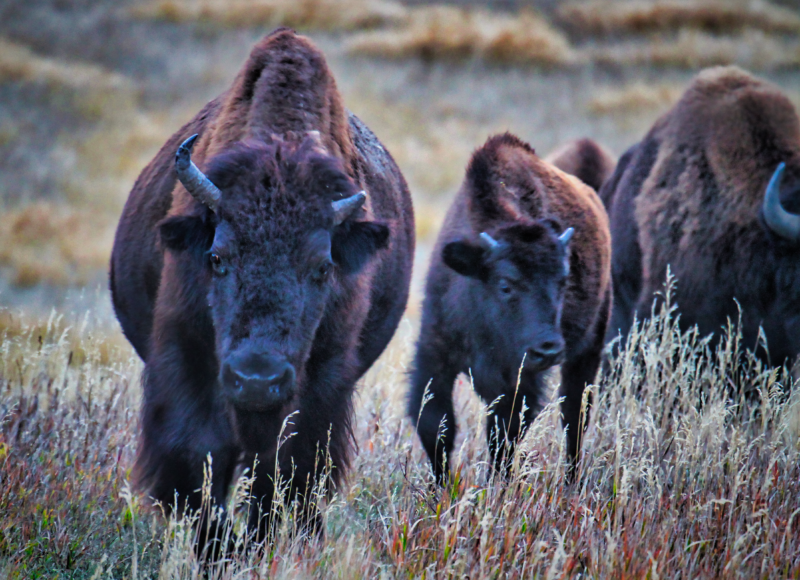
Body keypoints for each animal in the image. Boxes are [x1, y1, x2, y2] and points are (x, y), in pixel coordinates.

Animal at [110, 29, 414, 539]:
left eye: (322, 267)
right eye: (217, 258)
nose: (257, 380)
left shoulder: (323, 382)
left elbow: (287, 468)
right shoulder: (184, 355)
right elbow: (198, 462)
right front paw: (218, 544)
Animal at [409, 133, 612, 482]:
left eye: (563, 281)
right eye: (505, 285)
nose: (548, 349)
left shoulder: (520, 379)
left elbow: (504, 435)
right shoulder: (435, 353)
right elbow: (436, 425)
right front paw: (444, 486)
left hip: (588, 349)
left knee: (574, 416)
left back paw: (571, 480)